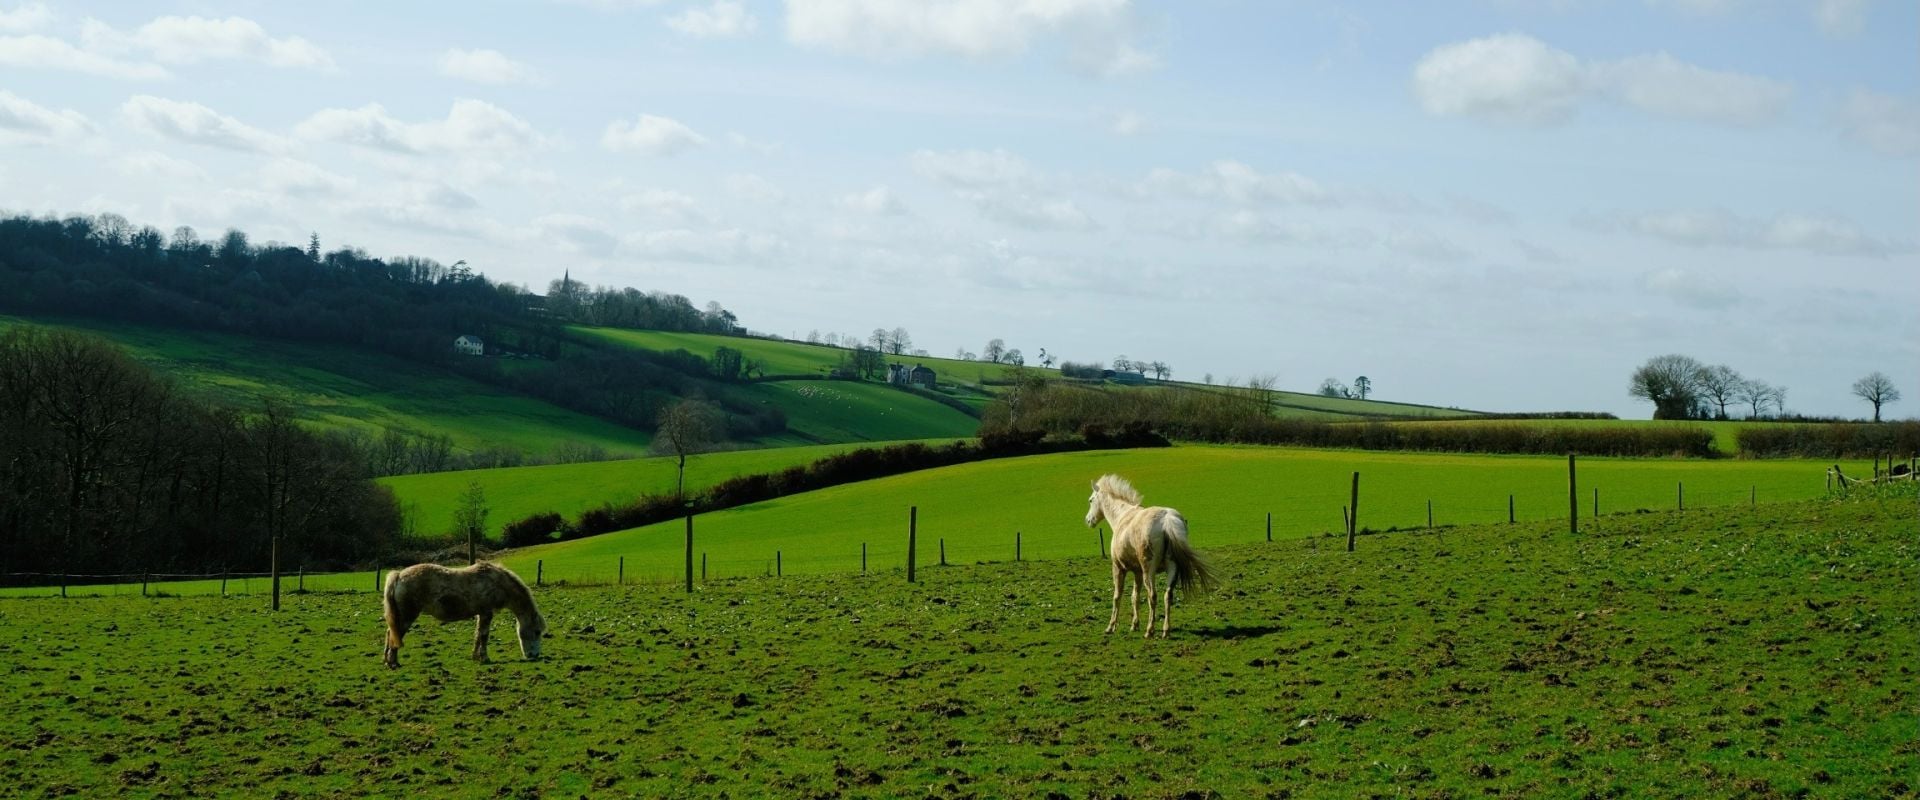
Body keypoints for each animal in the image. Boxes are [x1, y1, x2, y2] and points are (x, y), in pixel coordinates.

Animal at [382, 561, 546, 668]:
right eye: (537, 632)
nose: (534, 655)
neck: (496, 582)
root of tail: (399, 575)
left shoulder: (481, 614)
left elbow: (477, 635)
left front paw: (475, 656)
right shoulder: (486, 613)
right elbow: (484, 636)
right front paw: (485, 658)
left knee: (390, 633)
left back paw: (387, 660)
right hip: (407, 617)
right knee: (395, 635)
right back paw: (393, 663)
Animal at [1085, 474, 1220, 638]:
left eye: (1091, 500)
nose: (1088, 520)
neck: (1123, 516)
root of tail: (1167, 520)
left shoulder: (1118, 568)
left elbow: (1117, 596)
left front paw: (1111, 627)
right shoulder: (1137, 572)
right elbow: (1135, 597)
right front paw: (1134, 625)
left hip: (1149, 571)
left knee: (1153, 596)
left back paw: (1150, 630)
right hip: (1172, 569)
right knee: (1168, 595)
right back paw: (1165, 631)